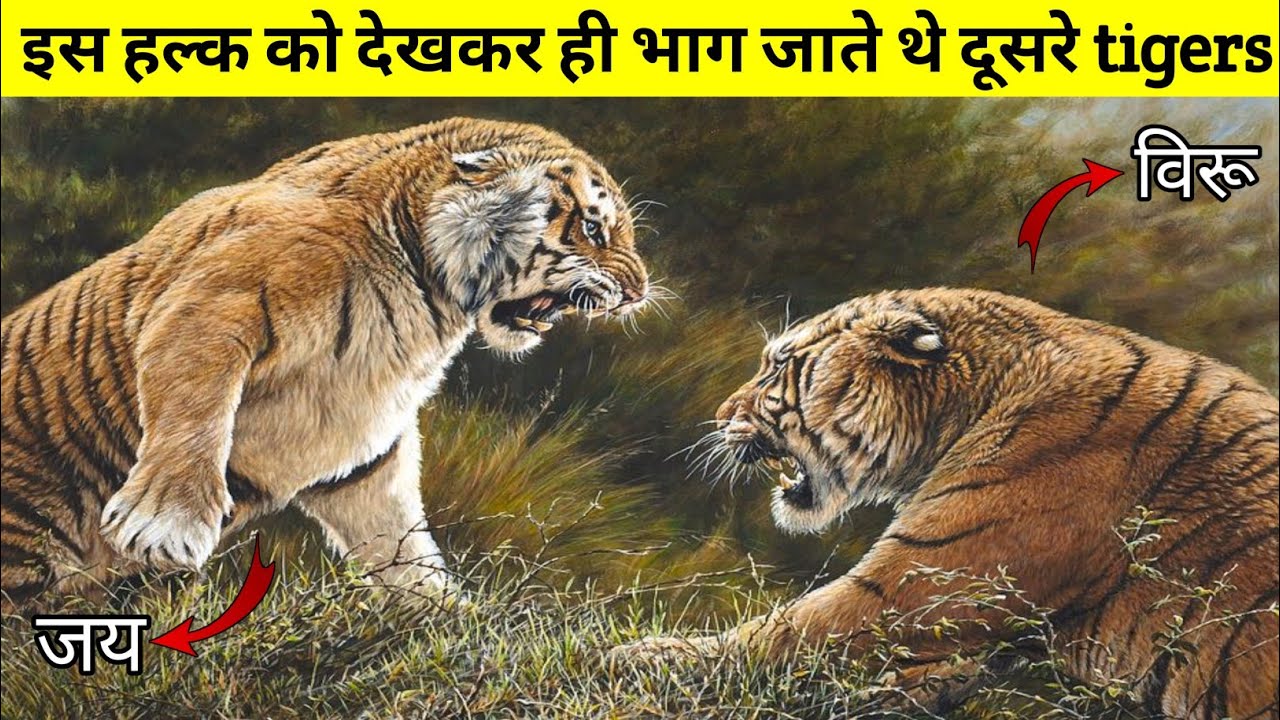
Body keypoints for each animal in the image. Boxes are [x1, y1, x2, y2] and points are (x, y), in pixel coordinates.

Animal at [0, 117, 650, 611]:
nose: (640, 292)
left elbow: (404, 546)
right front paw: (168, 526)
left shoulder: (366, 450)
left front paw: (457, 622)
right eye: (593, 227)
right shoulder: (208, 309)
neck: (428, 297)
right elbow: (196, 414)